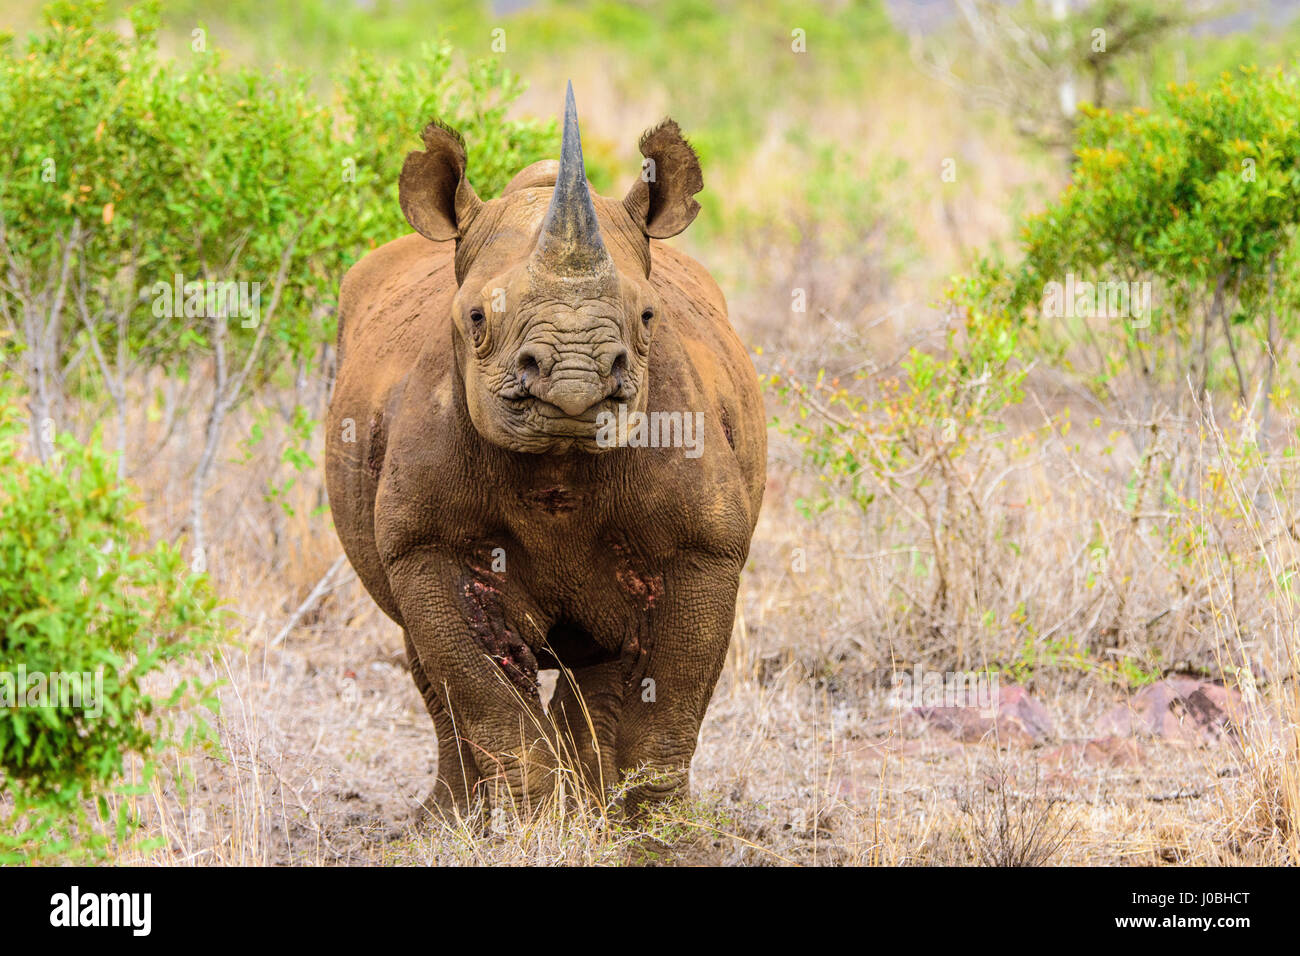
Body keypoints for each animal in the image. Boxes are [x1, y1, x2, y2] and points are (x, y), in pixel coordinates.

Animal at [325, 85, 765, 815]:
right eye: (477, 318)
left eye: (648, 317)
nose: (575, 379)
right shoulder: (426, 546)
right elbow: (489, 705)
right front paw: (529, 824)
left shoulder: (704, 547)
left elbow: (668, 708)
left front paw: (659, 828)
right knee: (430, 667)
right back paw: (449, 821)